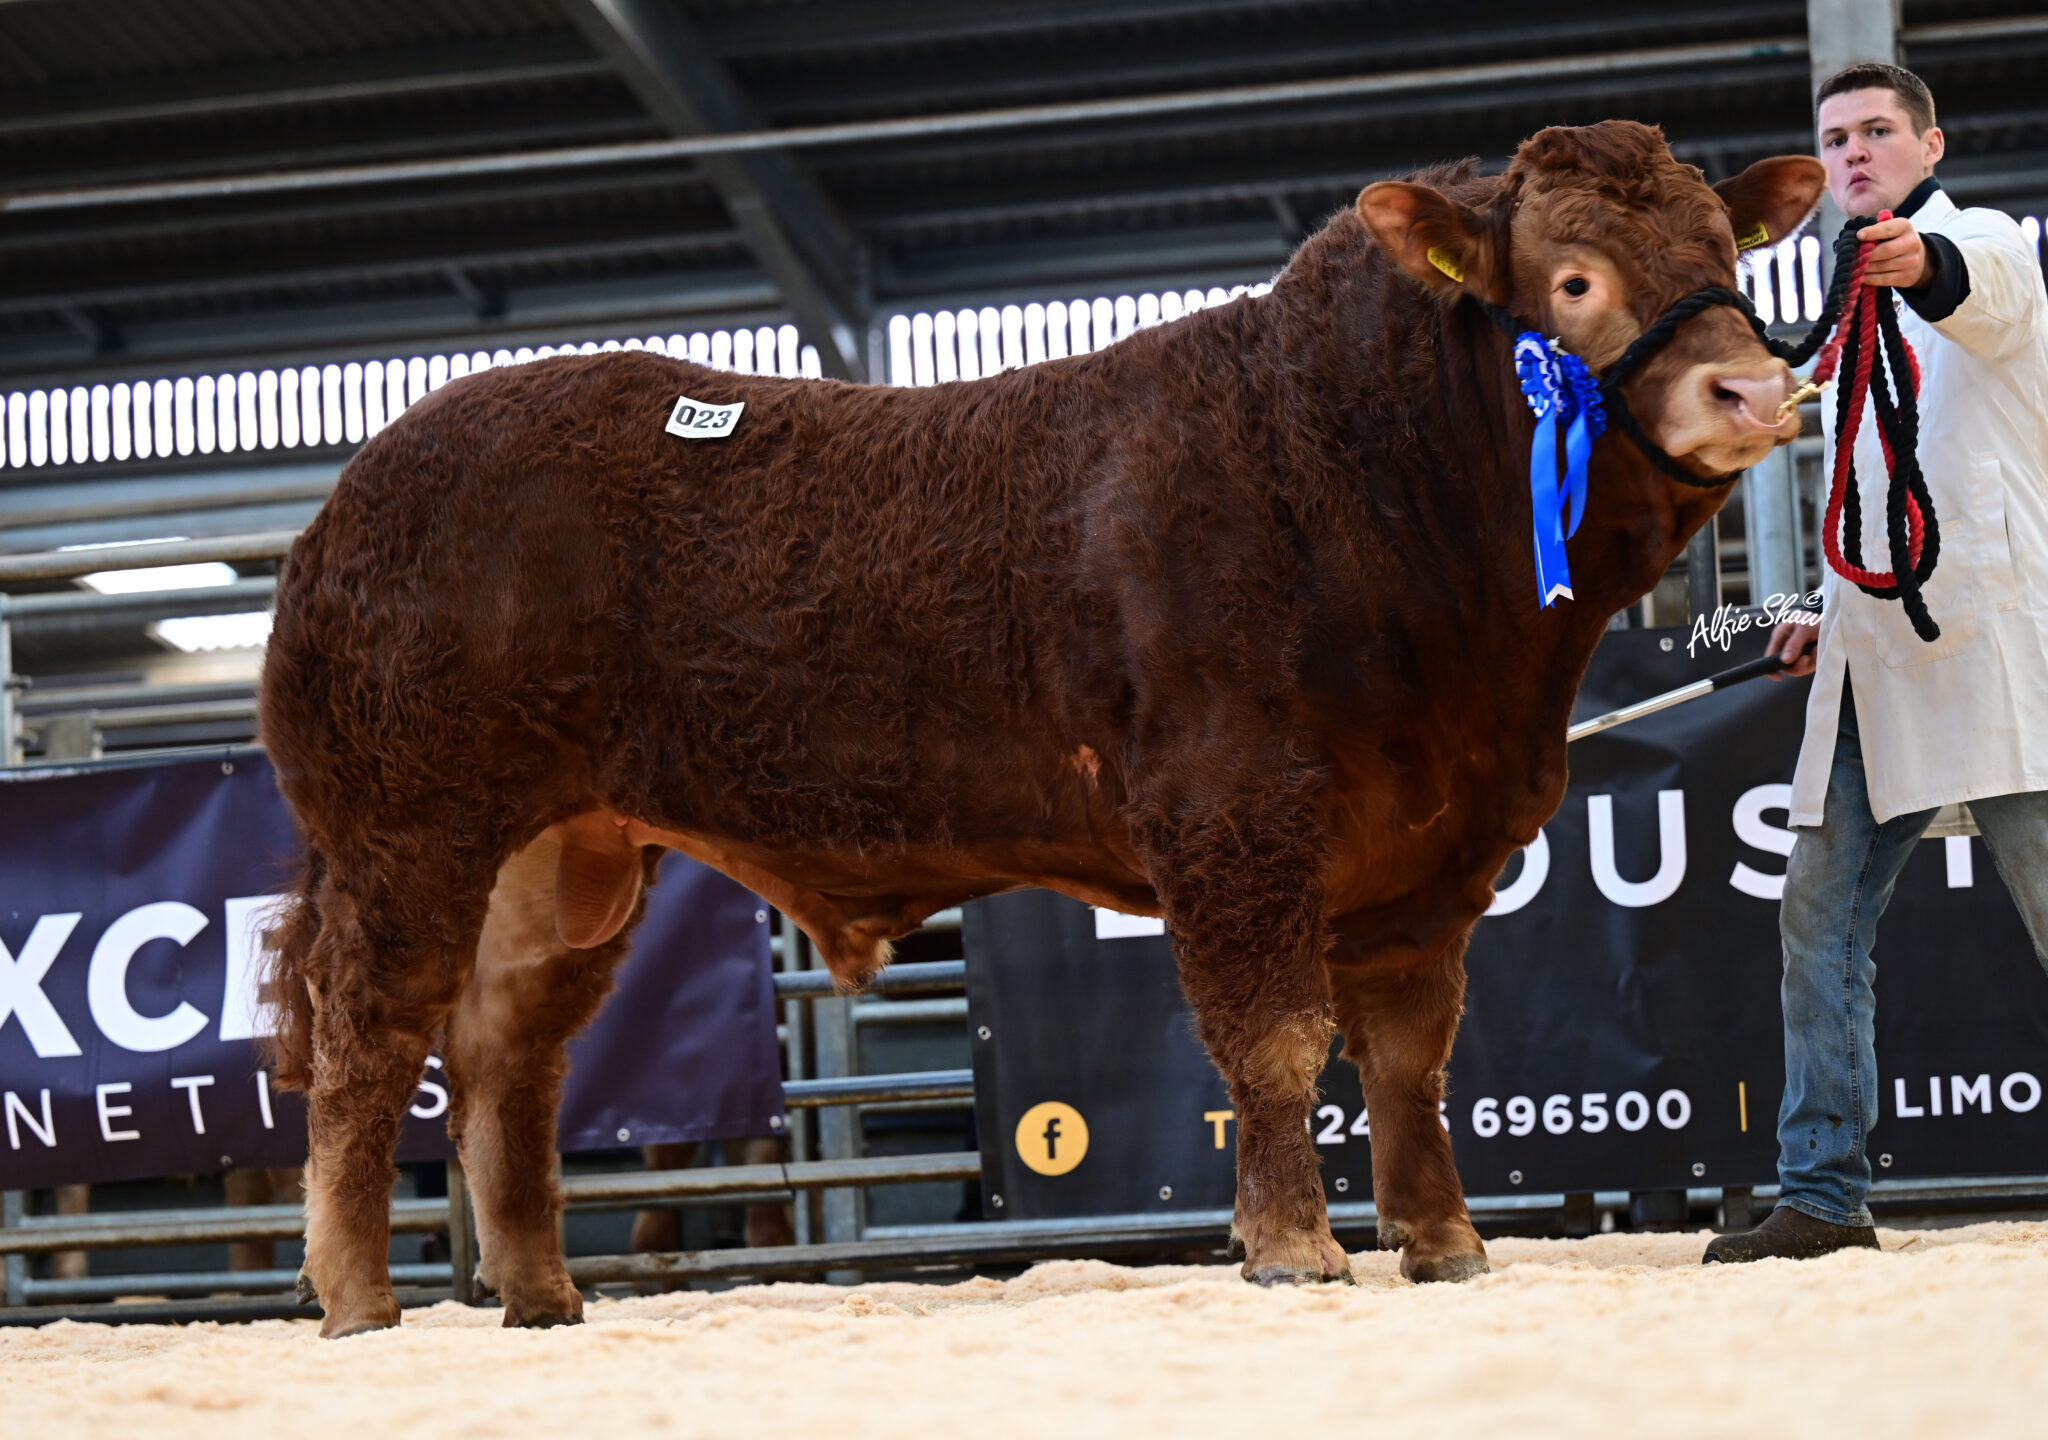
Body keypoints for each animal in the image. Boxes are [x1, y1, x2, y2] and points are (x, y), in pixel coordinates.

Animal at [259, 121, 1824, 1336]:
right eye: (1572, 277)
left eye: (1728, 252)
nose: (1753, 388)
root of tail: (354, 497)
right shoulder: (1232, 813)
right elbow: (1277, 1040)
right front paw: (1293, 1250)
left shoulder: (1435, 850)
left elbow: (1408, 1060)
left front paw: (1442, 1246)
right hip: (409, 827)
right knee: (370, 1042)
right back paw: (357, 1295)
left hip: (563, 860)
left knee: (507, 1062)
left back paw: (538, 1293)